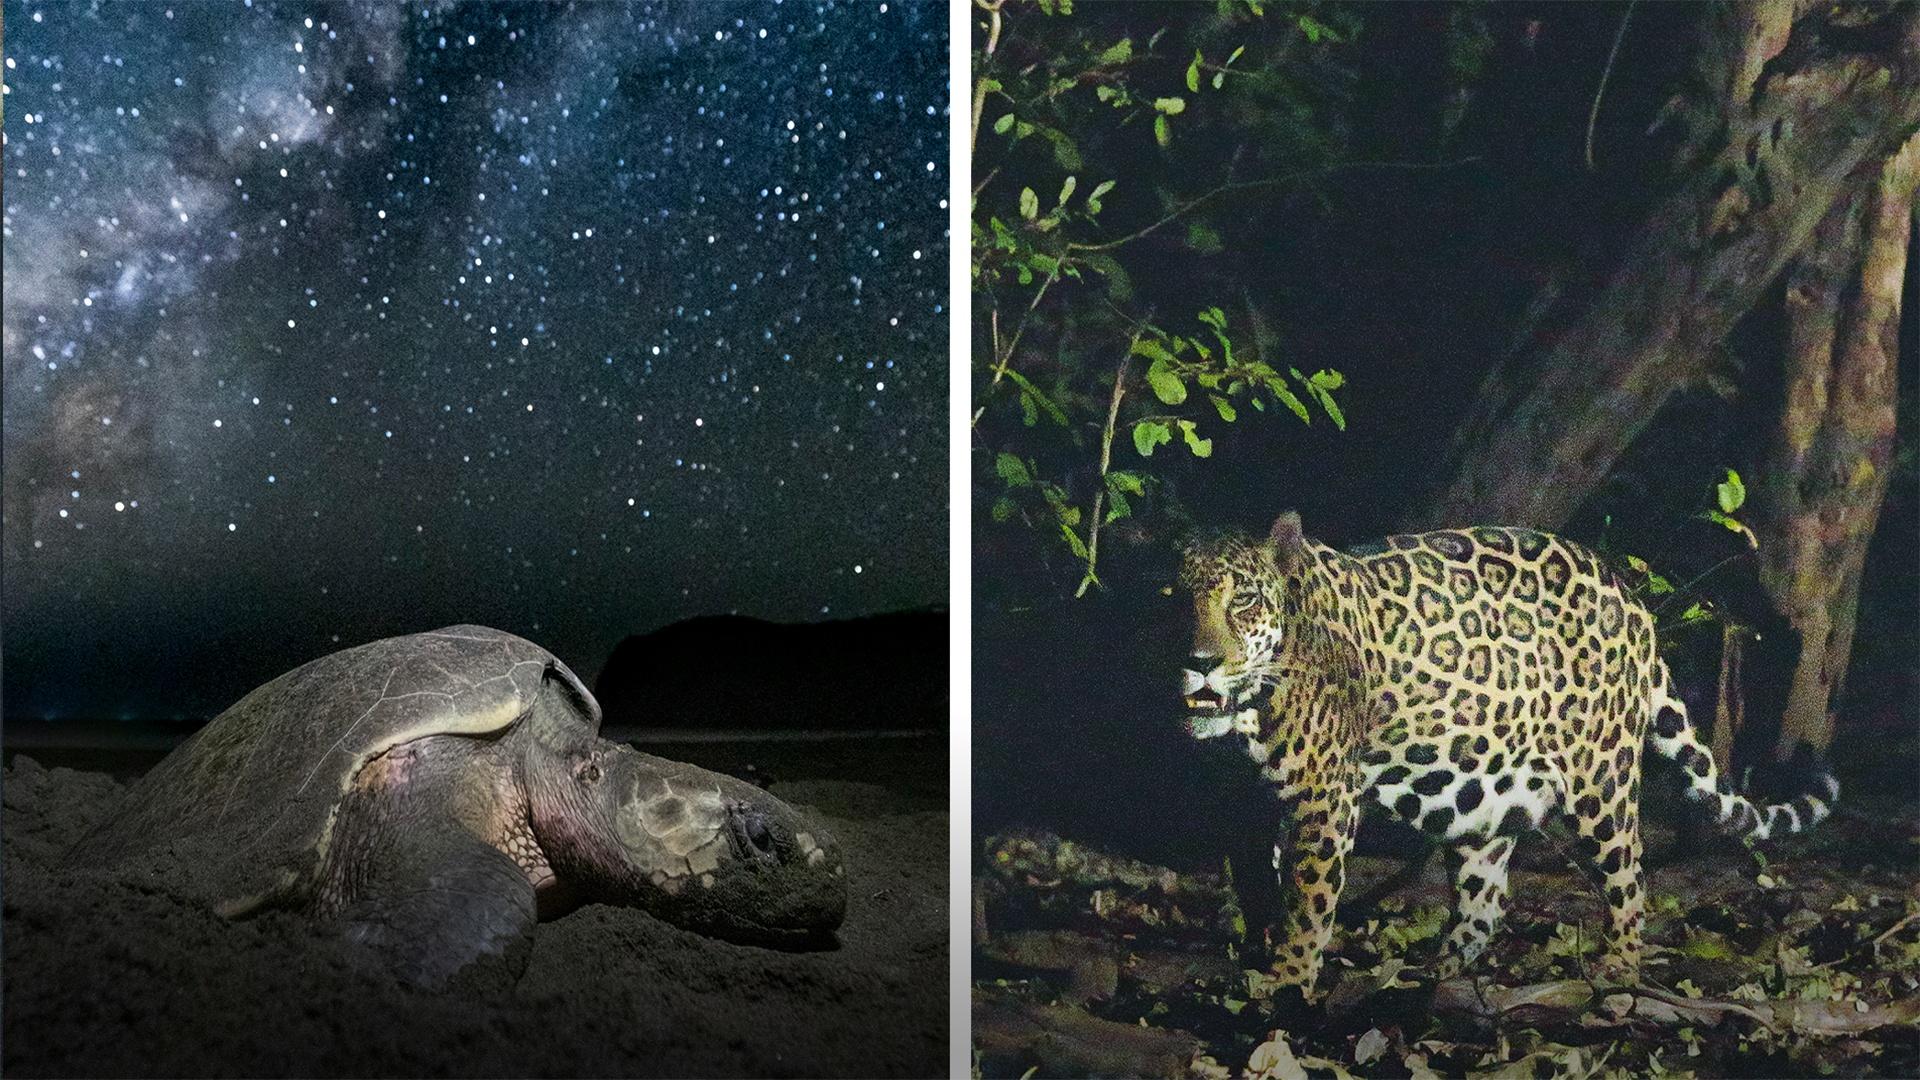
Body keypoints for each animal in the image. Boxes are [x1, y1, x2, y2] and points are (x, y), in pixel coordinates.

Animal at [1175, 510, 1838, 999]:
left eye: (1243, 602)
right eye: (1170, 597)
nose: (1199, 662)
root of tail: (1633, 603)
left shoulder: (1323, 798)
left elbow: (1309, 899)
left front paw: (1288, 978)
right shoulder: (1249, 807)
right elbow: (1261, 886)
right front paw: (1262, 954)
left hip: (1600, 779)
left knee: (1630, 876)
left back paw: (1618, 970)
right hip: (1480, 794)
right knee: (1486, 898)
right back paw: (1432, 973)